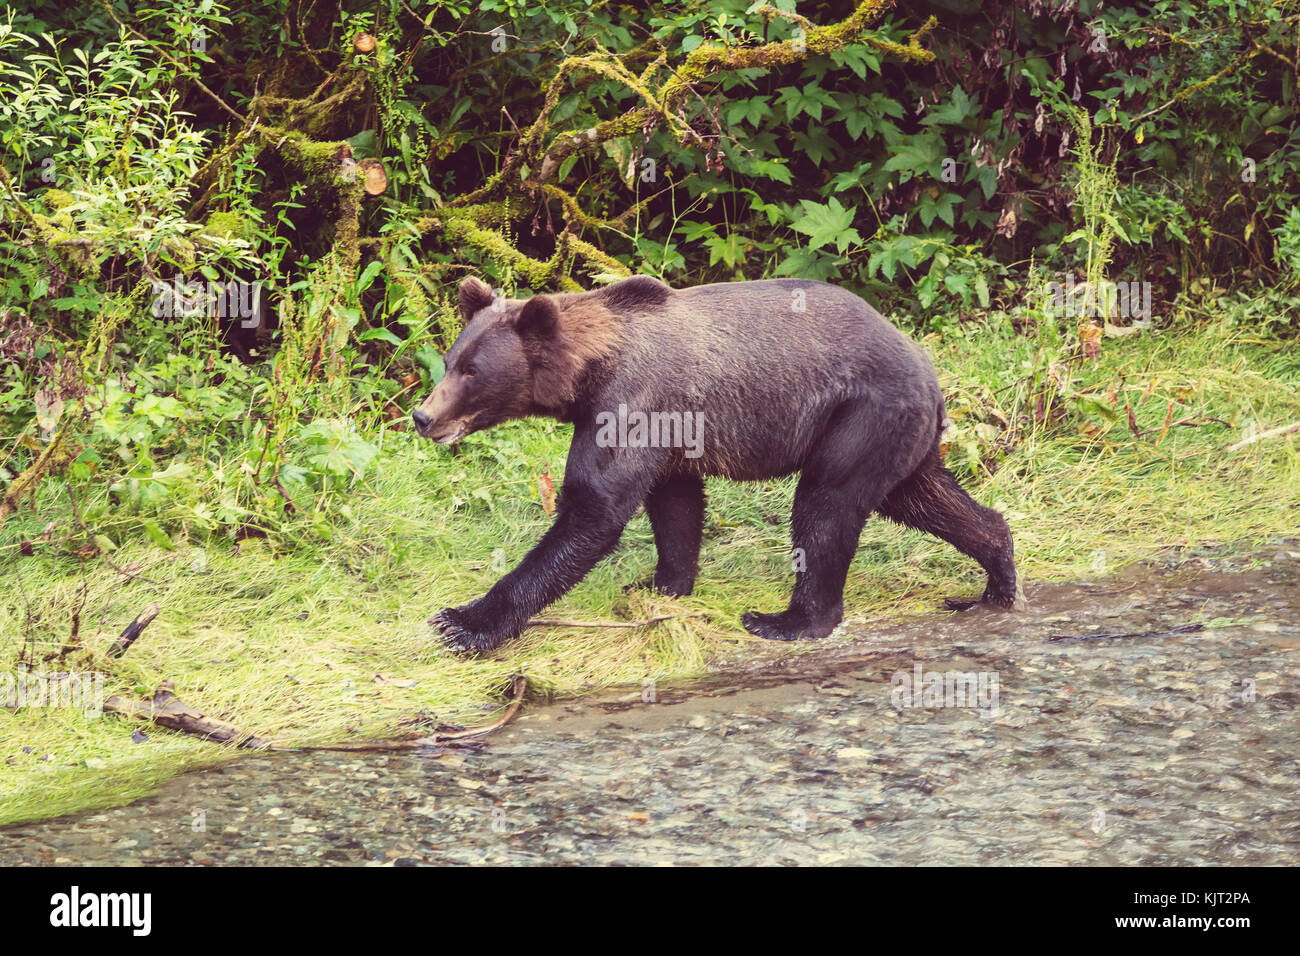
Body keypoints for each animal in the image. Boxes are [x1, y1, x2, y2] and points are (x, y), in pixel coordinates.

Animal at [413, 274, 1022, 652]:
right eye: (450, 358)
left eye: (472, 371)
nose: (423, 415)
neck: (590, 370)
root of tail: (928, 366)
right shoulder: (669, 428)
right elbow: (675, 502)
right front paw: (659, 584)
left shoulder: (632, 401)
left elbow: (593, 509)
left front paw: (462, 622)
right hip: (898, 436)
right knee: (923, 496)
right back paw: (998, 574)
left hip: (858, 415)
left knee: (826, 505)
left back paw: (788, 620)